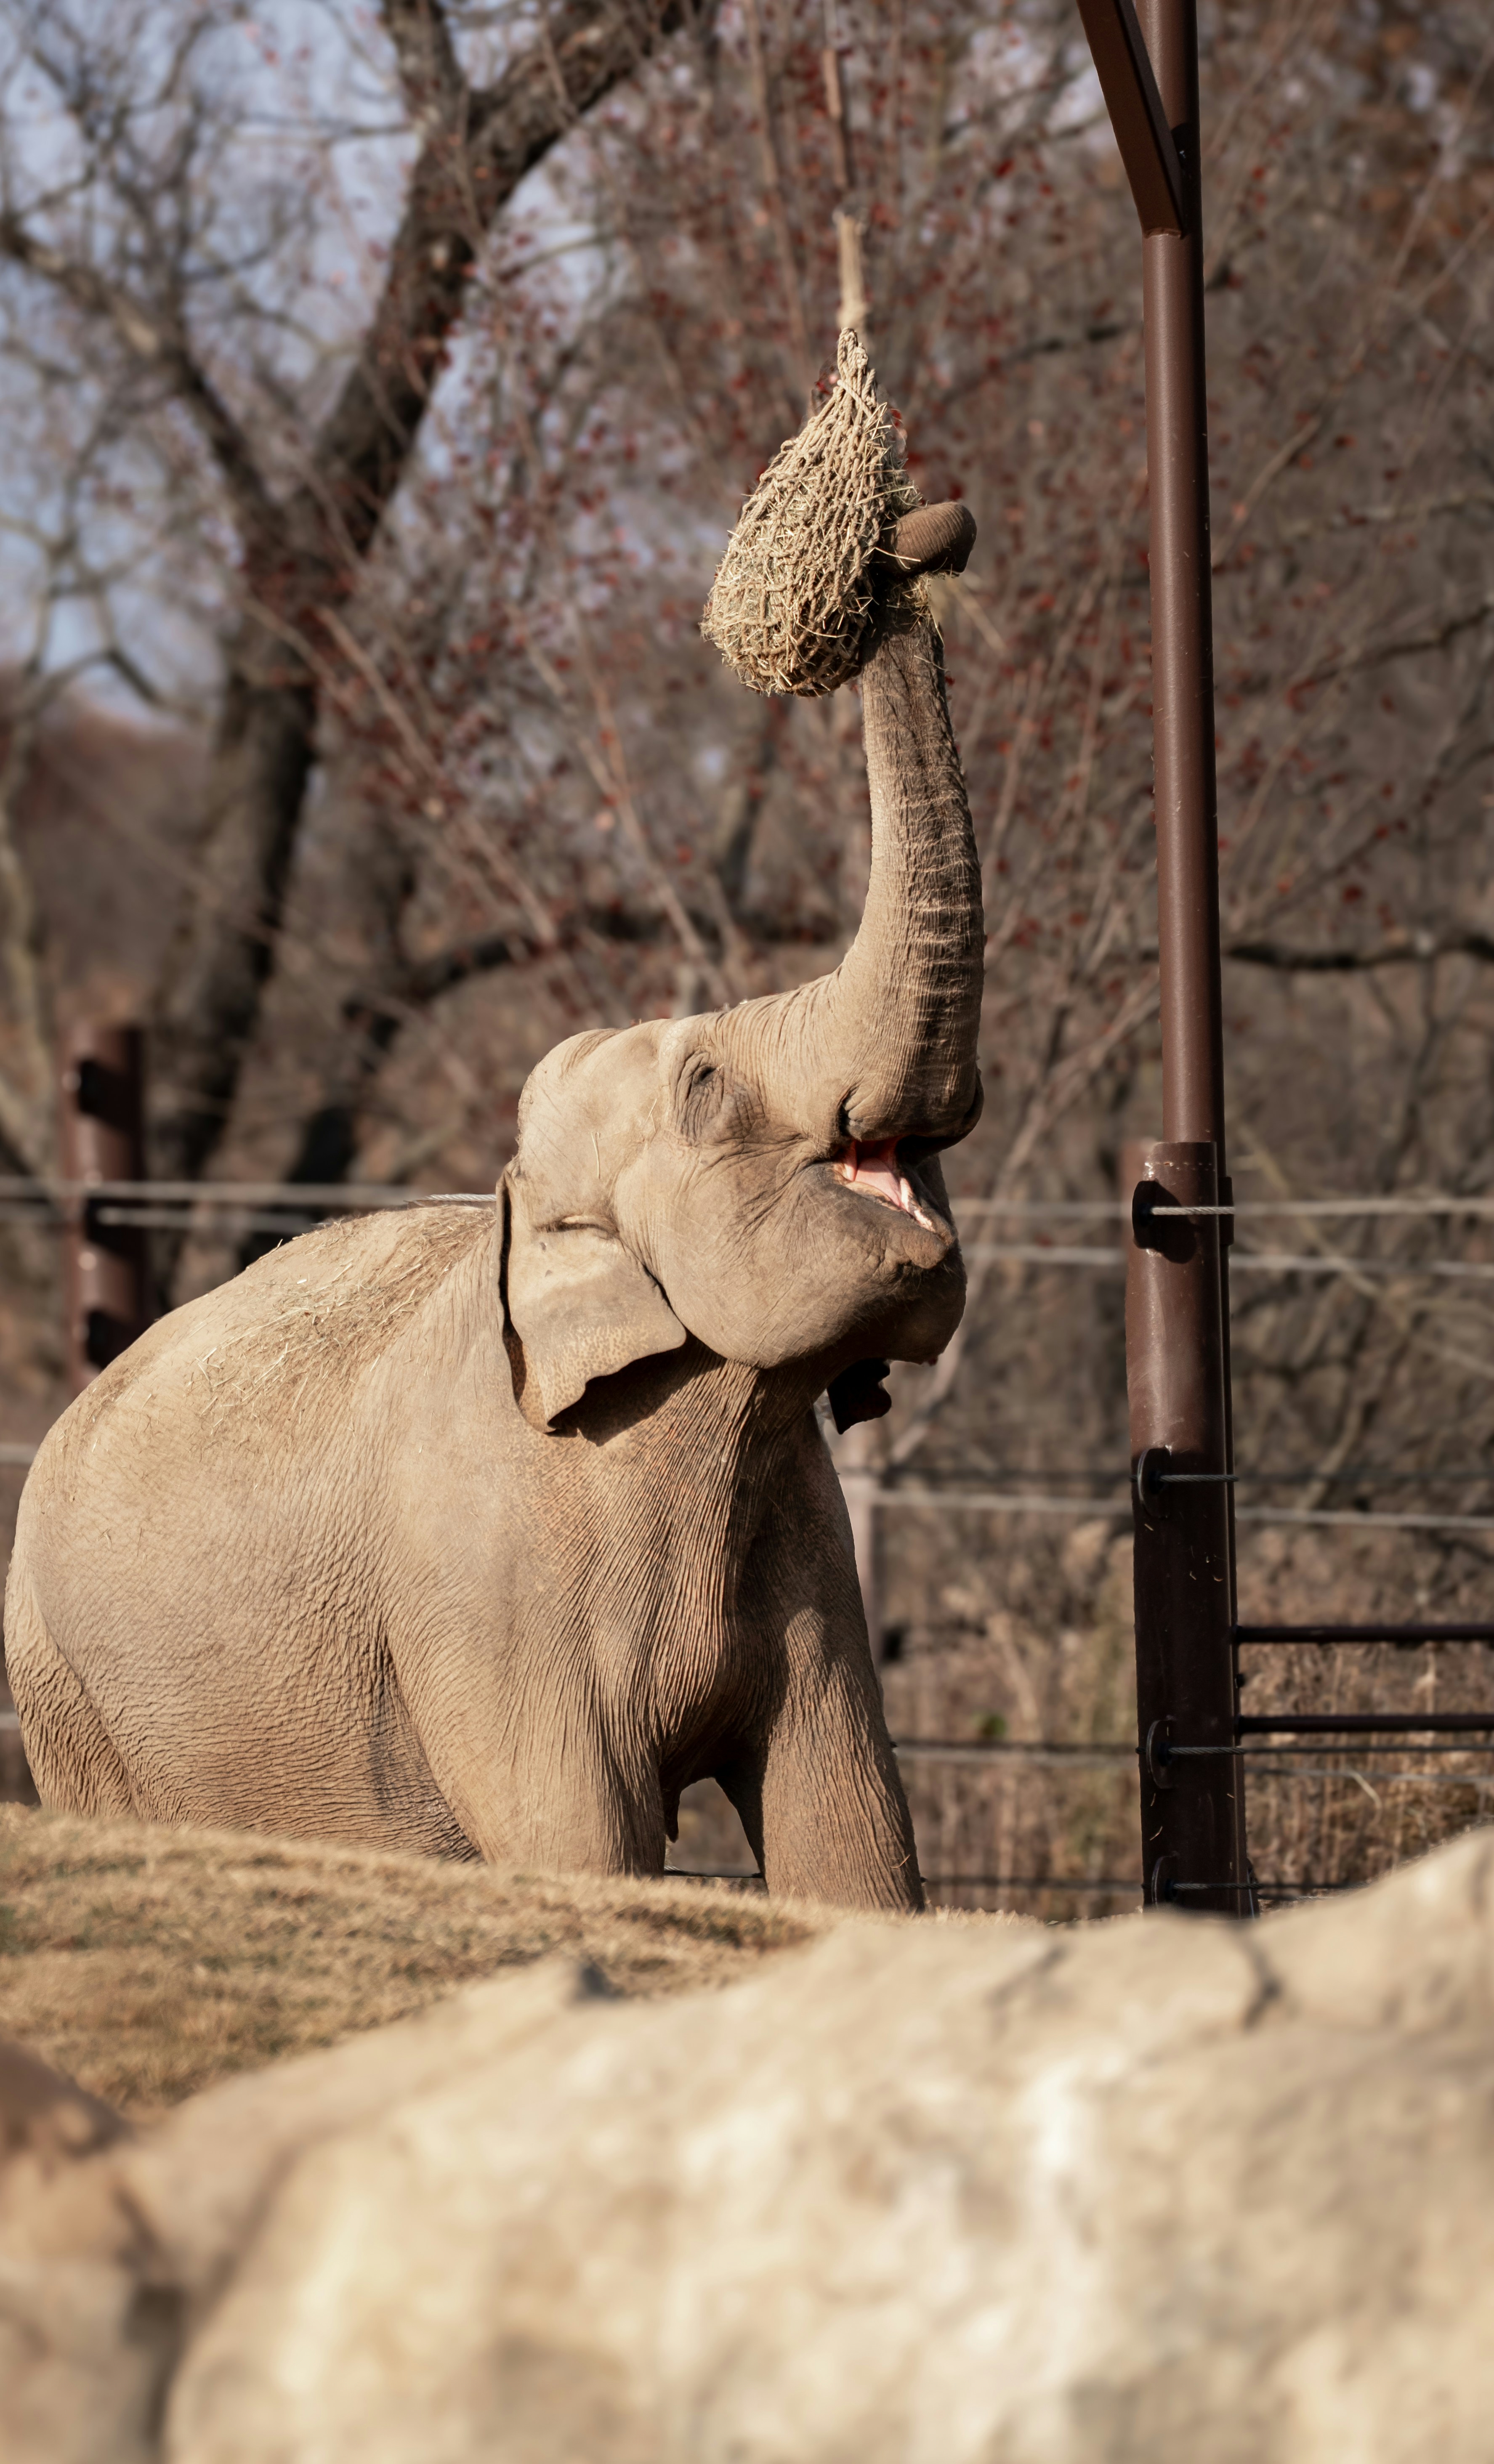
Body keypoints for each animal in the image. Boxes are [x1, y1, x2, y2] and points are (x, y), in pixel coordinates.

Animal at [6, 502, 984, 1910]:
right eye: (704, 1090)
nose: (919, 534)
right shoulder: (490, 1587)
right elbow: (581, 1847)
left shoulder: (805, 1544)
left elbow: (849, 1845)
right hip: (64, 1694)